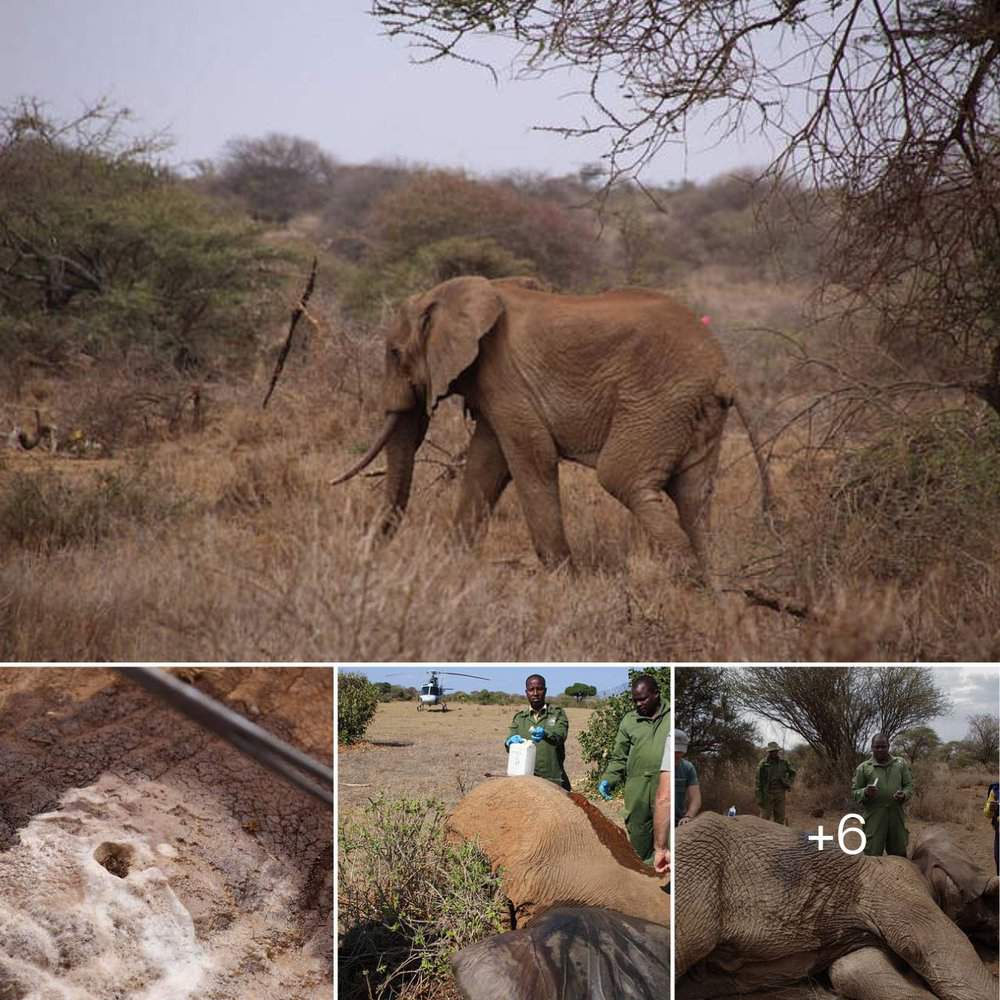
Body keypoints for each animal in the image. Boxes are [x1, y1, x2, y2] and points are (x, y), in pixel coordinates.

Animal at [332, 275, 772, 575]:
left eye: (394, 352)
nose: (368, 553)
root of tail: (725, 372)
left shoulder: (506, 377)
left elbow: (531, 456)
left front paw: (562, 575)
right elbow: (486, 462)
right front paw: (452, 562)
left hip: (658, 403)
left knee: (624, 478)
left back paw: (685, 576)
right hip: (697, 414)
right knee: (694, 497)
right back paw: (713, 587)